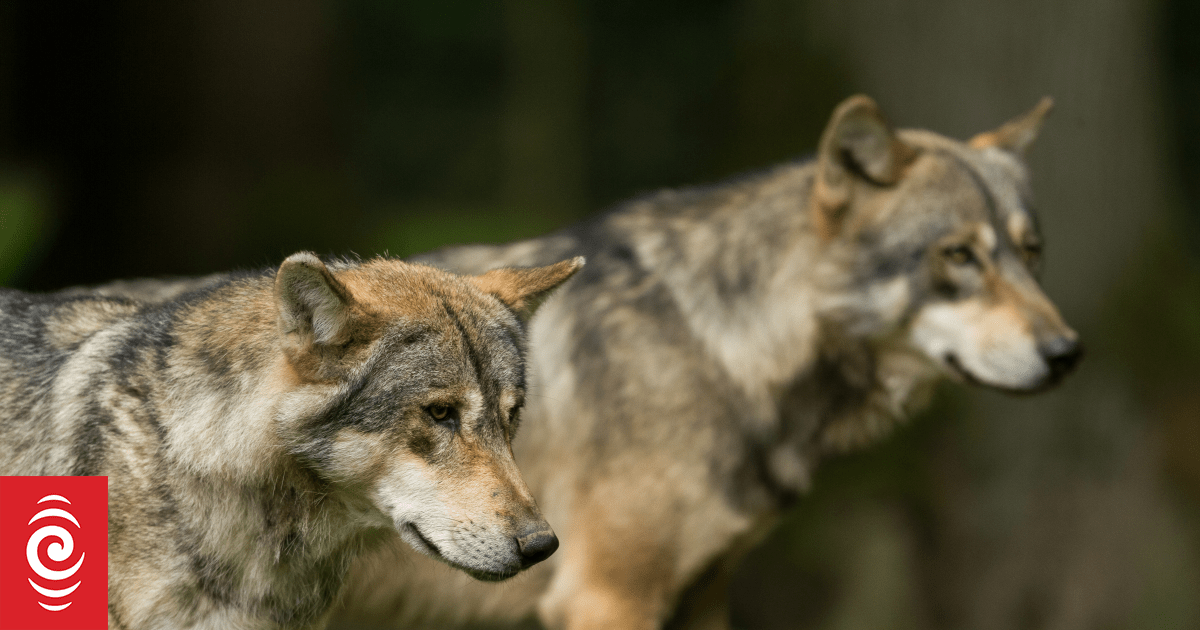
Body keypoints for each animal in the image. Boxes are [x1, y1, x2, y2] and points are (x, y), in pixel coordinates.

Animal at [322, 95, 1082, 630]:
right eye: (960, 255)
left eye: (1031, 251)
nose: (1068, 353)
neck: (715, 348)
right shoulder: (609, 597)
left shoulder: (705, 593)